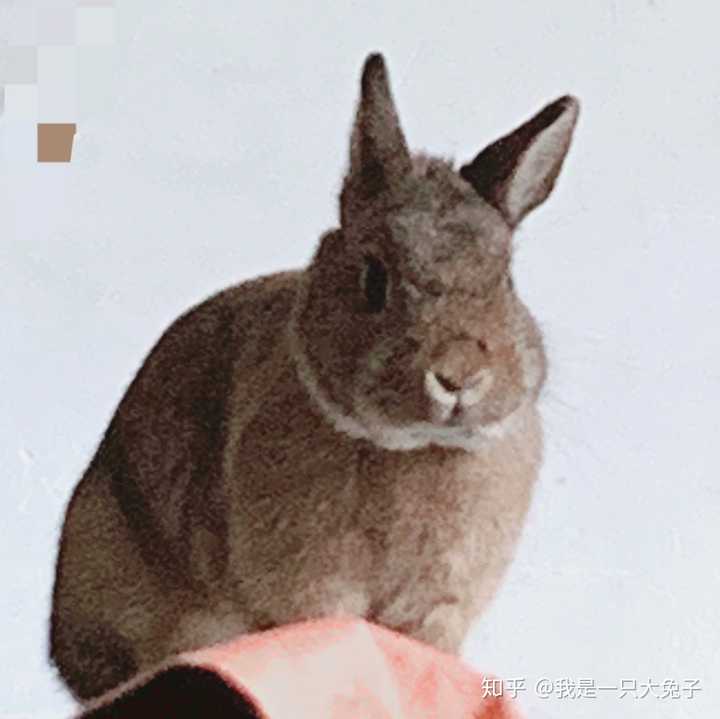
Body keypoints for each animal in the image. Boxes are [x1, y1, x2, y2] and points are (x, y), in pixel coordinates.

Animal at [50, 52, 580, 703]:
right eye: (374, 278)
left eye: (505, 280)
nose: (458, 376)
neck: (414, 449)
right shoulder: (314, 592)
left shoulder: (440, 607)